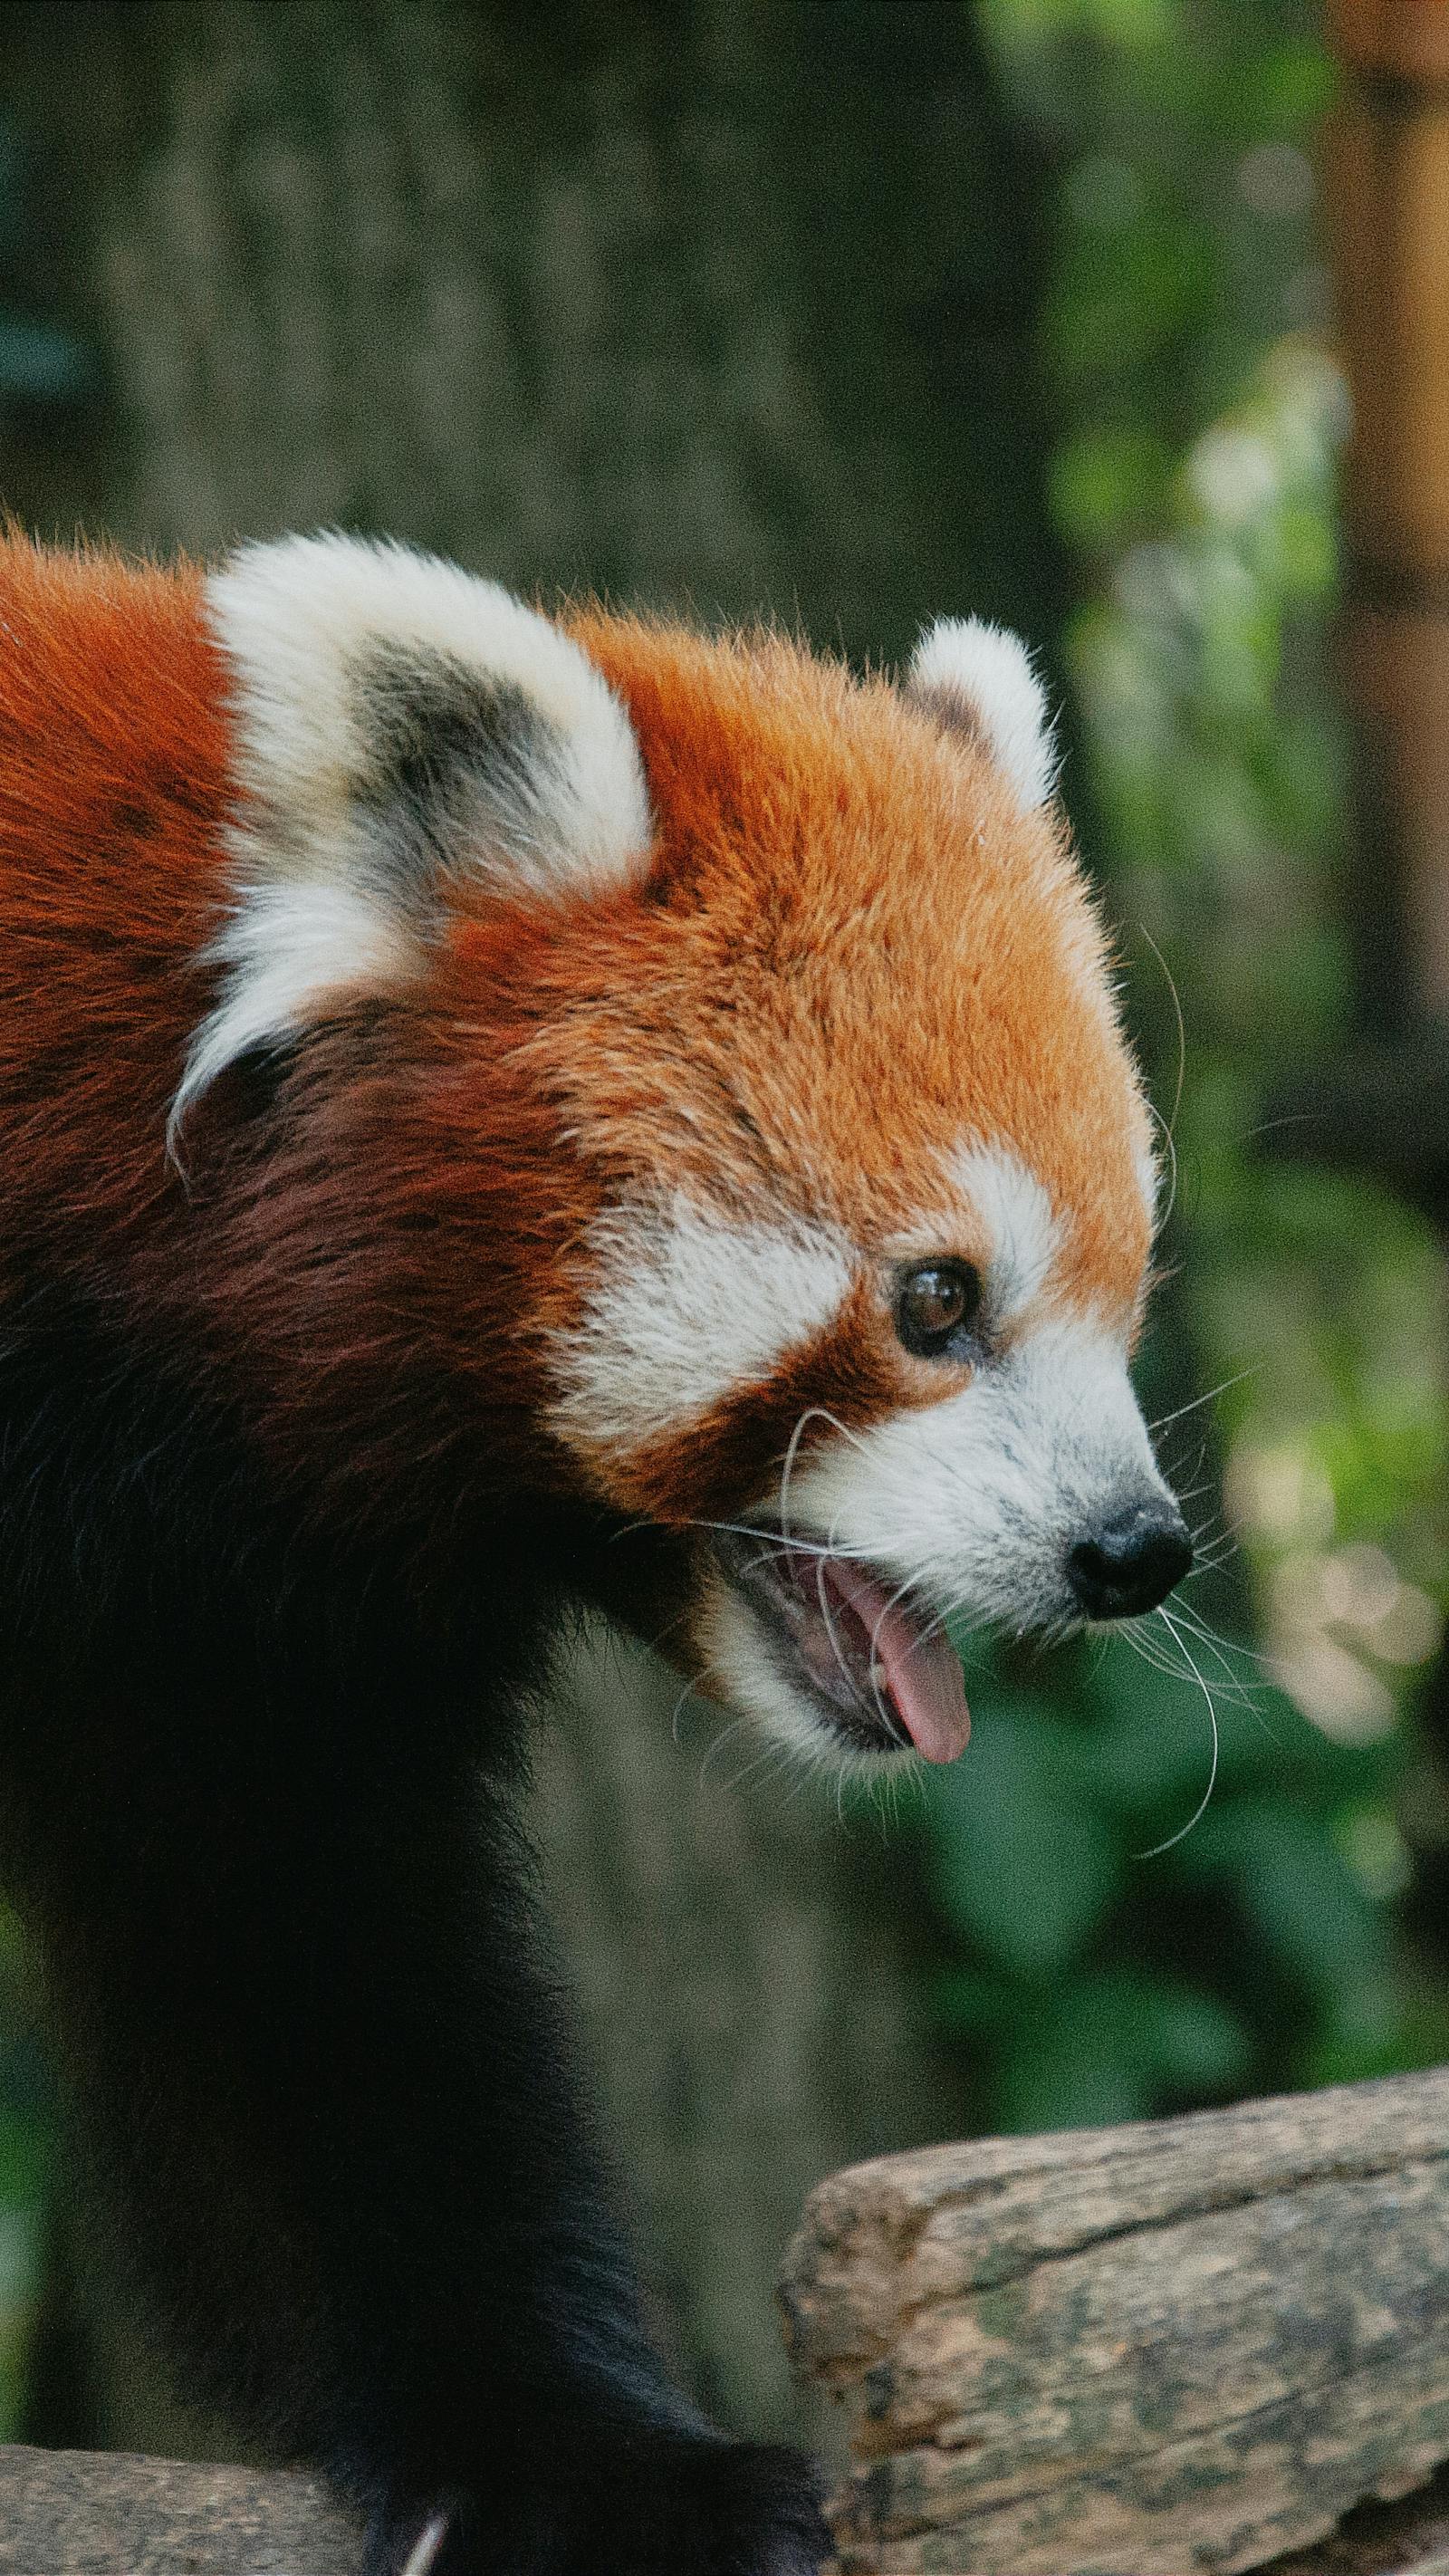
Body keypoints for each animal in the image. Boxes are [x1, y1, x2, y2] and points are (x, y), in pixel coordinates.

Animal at [0, 532, 1190, 2573]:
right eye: (936, 1300)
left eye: (1124, 1281)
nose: (1134, 1548)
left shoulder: (228, 1610)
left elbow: (306, 1971)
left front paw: (578, 2455)